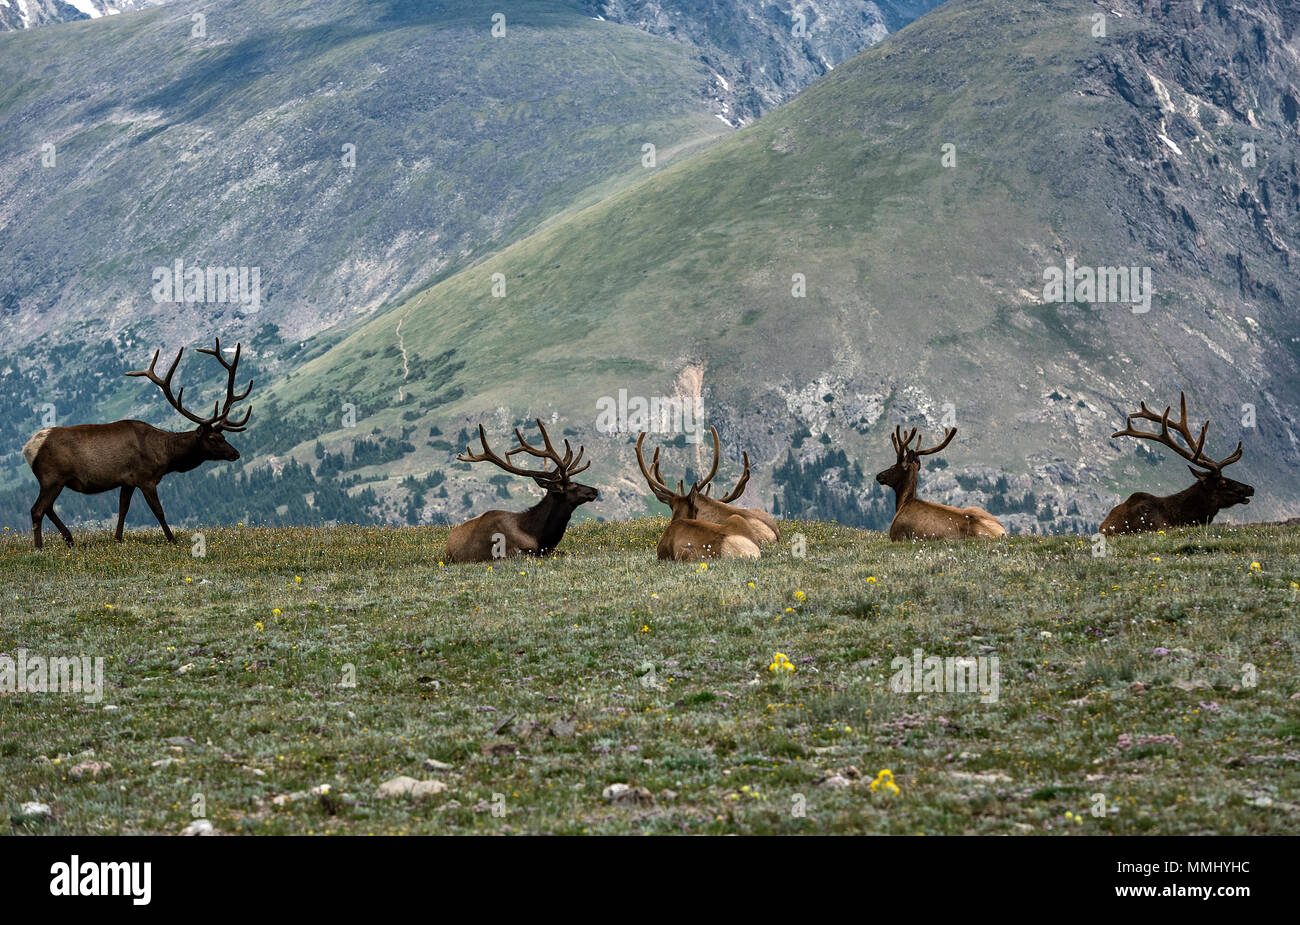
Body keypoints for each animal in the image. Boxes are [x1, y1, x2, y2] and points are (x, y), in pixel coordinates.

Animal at [24, 337, 253, 548]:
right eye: (213, 439)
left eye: (224, 437)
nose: (236, 453)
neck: (165, 456)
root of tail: (28, 448)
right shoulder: (146, 477)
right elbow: (158, 511)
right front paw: (172, 539)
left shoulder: (127, 481)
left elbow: (123, 510)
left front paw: (117, 539)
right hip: (52, 477)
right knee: (37, 509)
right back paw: (39, 547)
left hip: (55, 480)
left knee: (48, 508)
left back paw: (69, 539)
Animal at [873, 426, 1003, 543]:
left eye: (892, 467)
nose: (879, 476)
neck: (903, 503)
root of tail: (1002, 532)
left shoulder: (897, 535)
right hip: (974, 508)